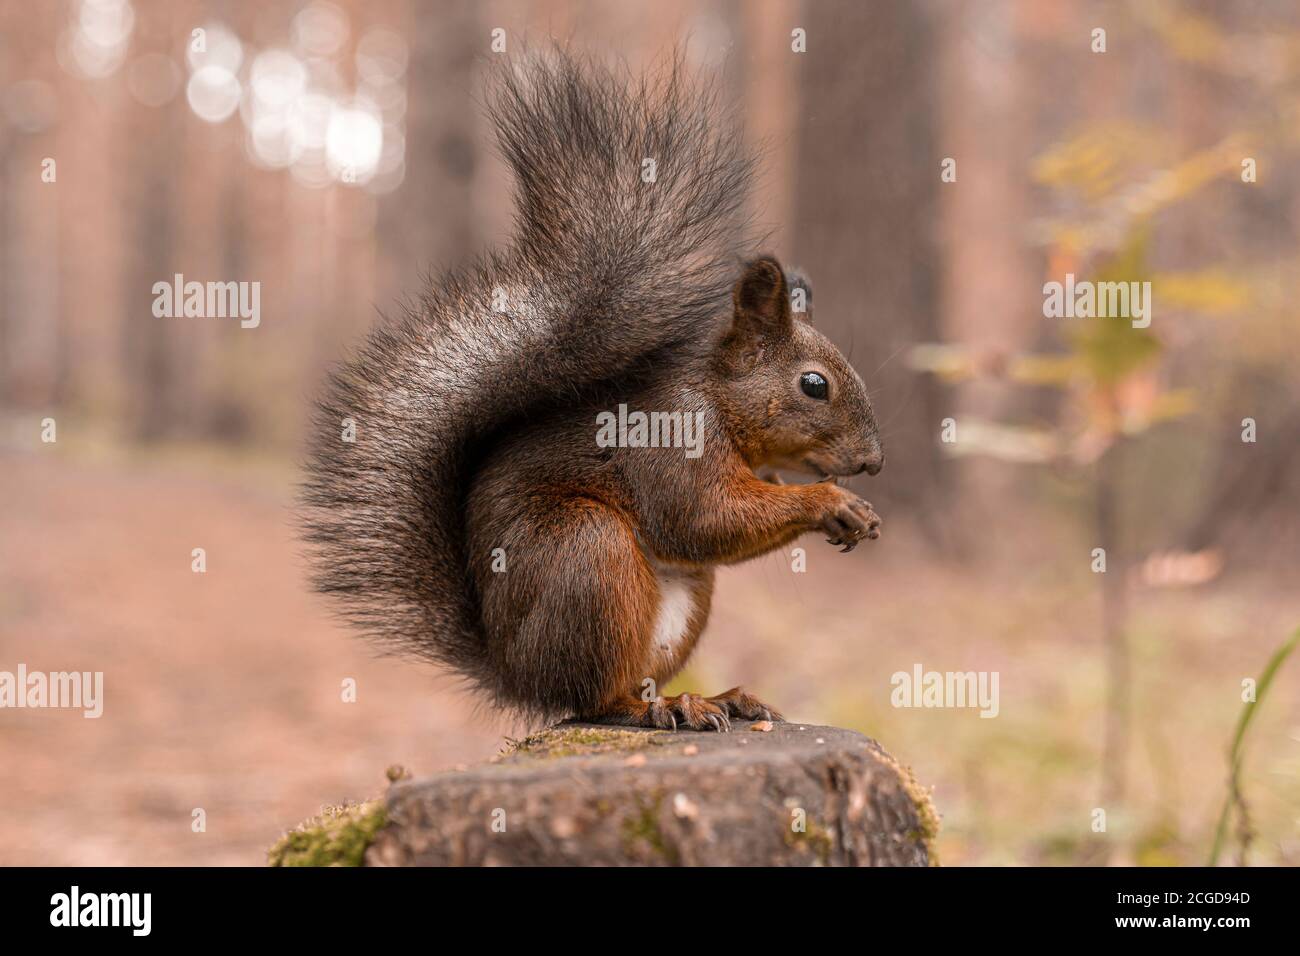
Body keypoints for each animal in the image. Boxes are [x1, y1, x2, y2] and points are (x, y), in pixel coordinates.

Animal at [301, 51, 883, 732]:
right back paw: (666, 708)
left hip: (683, 597)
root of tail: (517, 674)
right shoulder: (673, 440)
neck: (719, 403)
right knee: (596, 699)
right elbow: (703, 518)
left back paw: (716, 698)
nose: (874, 461)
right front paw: (831, 502)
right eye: (814, 384)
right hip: (588, 553)